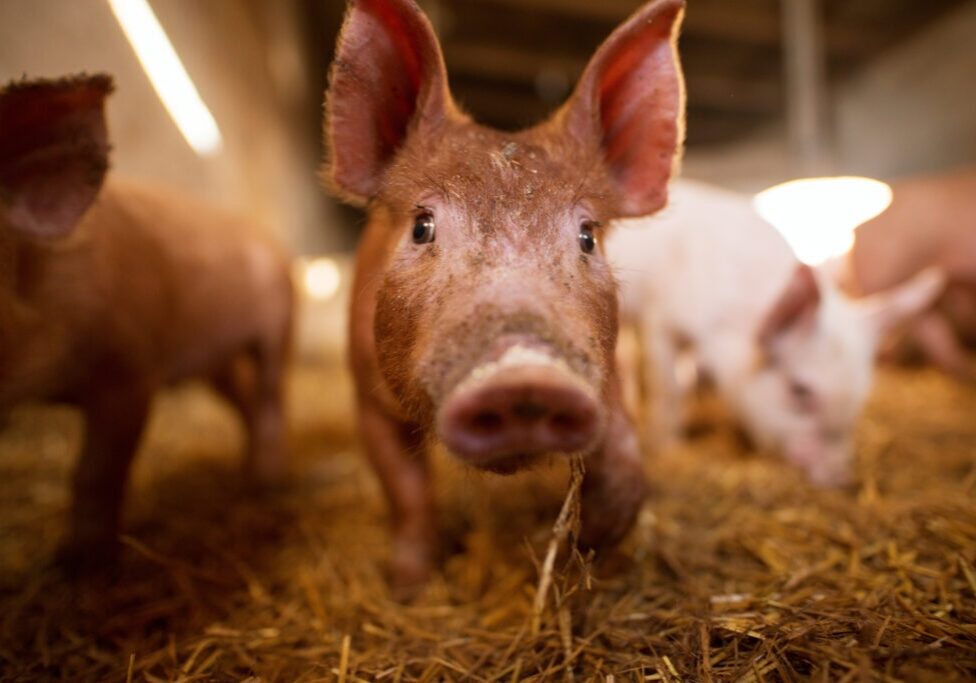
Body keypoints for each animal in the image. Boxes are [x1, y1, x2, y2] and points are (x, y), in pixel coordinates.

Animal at [0, 75, 293, 570]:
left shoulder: (132, 367)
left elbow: (95, 471)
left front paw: (83, 562)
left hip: (282, 322)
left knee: (273, 394)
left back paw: (268, 484)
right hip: (218, 362)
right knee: (245, 400)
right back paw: (245, 479)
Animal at [324, 0, 686, 593]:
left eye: (587, 236)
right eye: (422, 226)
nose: (525, 375)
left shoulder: (606, 372)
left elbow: (625, 465)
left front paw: (584, 546)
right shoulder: (365, 394)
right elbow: (406, 491)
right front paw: (409, 585)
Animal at [607, 180, 944, 486]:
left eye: (860, 396)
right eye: (800, 390)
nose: (841, 479)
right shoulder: (661, 320)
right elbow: (670, 388)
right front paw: (668, 448)